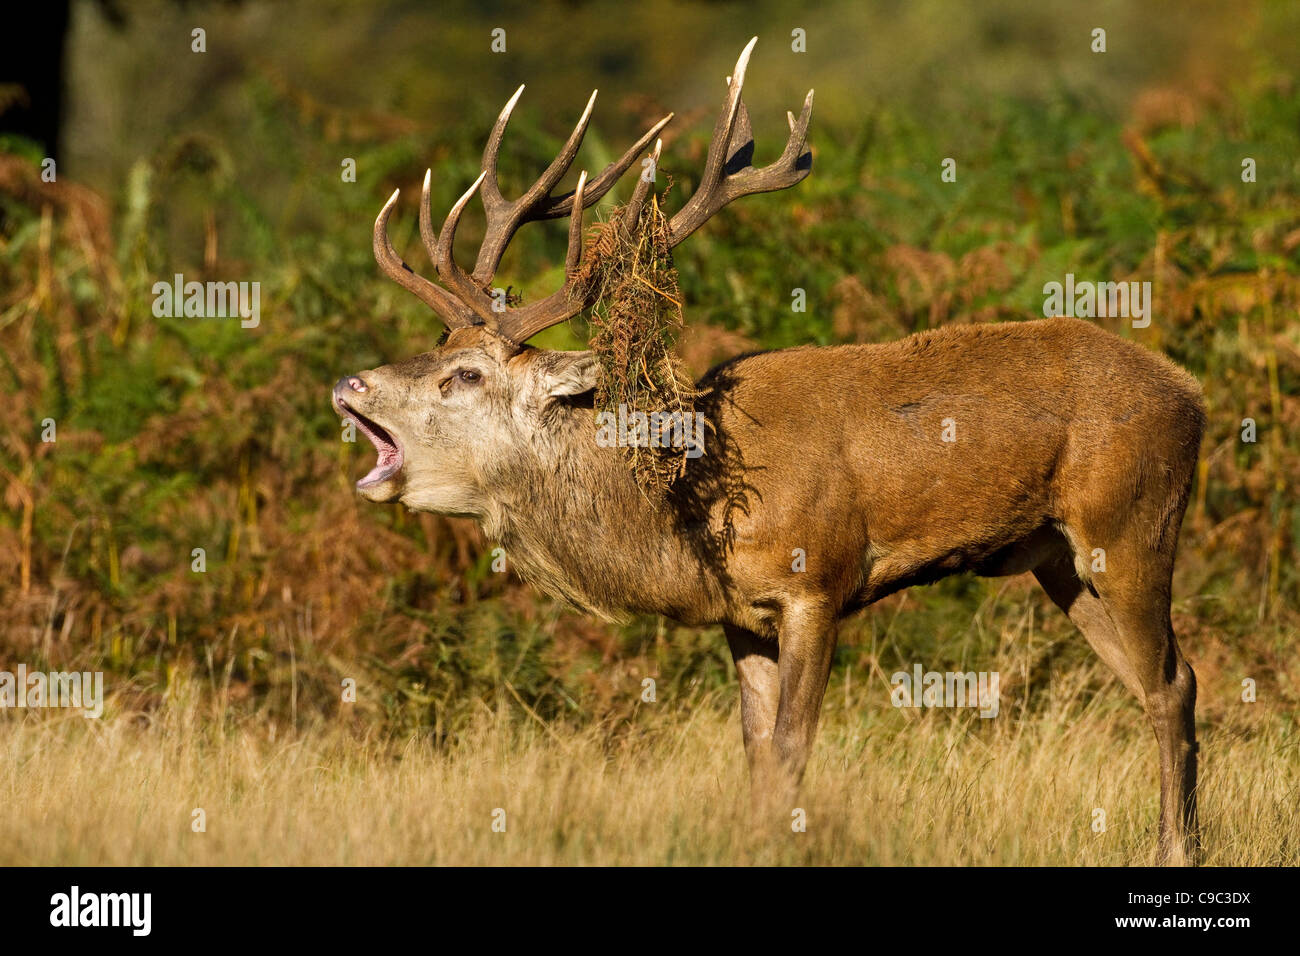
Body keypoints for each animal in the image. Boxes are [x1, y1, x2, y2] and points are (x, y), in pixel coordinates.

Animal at [332, 38, 1206, 865]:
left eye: (465, 374)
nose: (350, 382)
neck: (688, 509)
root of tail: (1192, 394)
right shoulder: (741, 615)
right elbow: (753, 752)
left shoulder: (817, 580)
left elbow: (790, 748)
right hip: (1056, 557)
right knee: (1160, 680)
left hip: (1133, 522)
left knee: (1172, 682)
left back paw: (1175, 847)